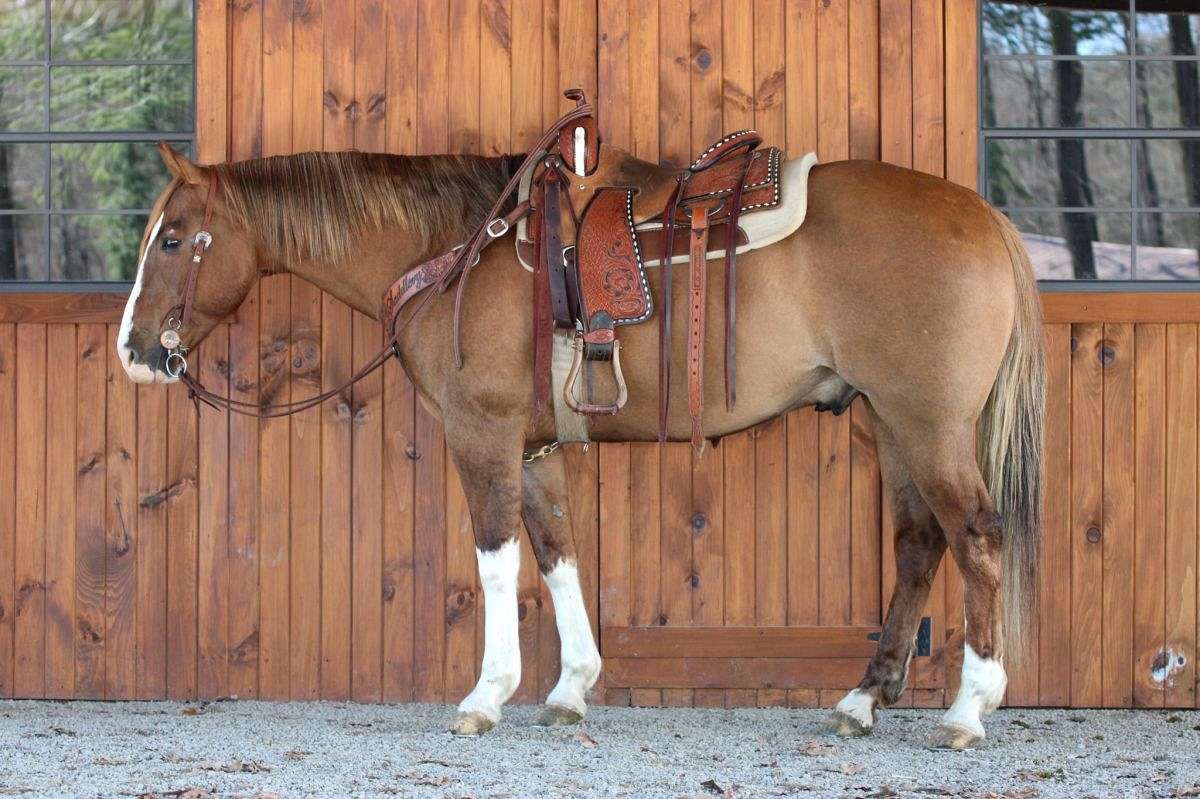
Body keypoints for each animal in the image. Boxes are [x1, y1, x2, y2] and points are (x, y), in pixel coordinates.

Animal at [118, 139, 1044, 750]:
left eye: (173, 238)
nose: (133, 349)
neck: (456, 249)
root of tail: (984, 215)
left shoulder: (482, 433)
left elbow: (497, 558)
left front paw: (487, 693)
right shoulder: (534, 449)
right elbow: (558, 550)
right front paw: (571, 687)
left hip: (928, 423)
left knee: (978, 537)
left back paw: (969, 707)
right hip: (889, 420)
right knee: (919, 542)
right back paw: (862, 698)